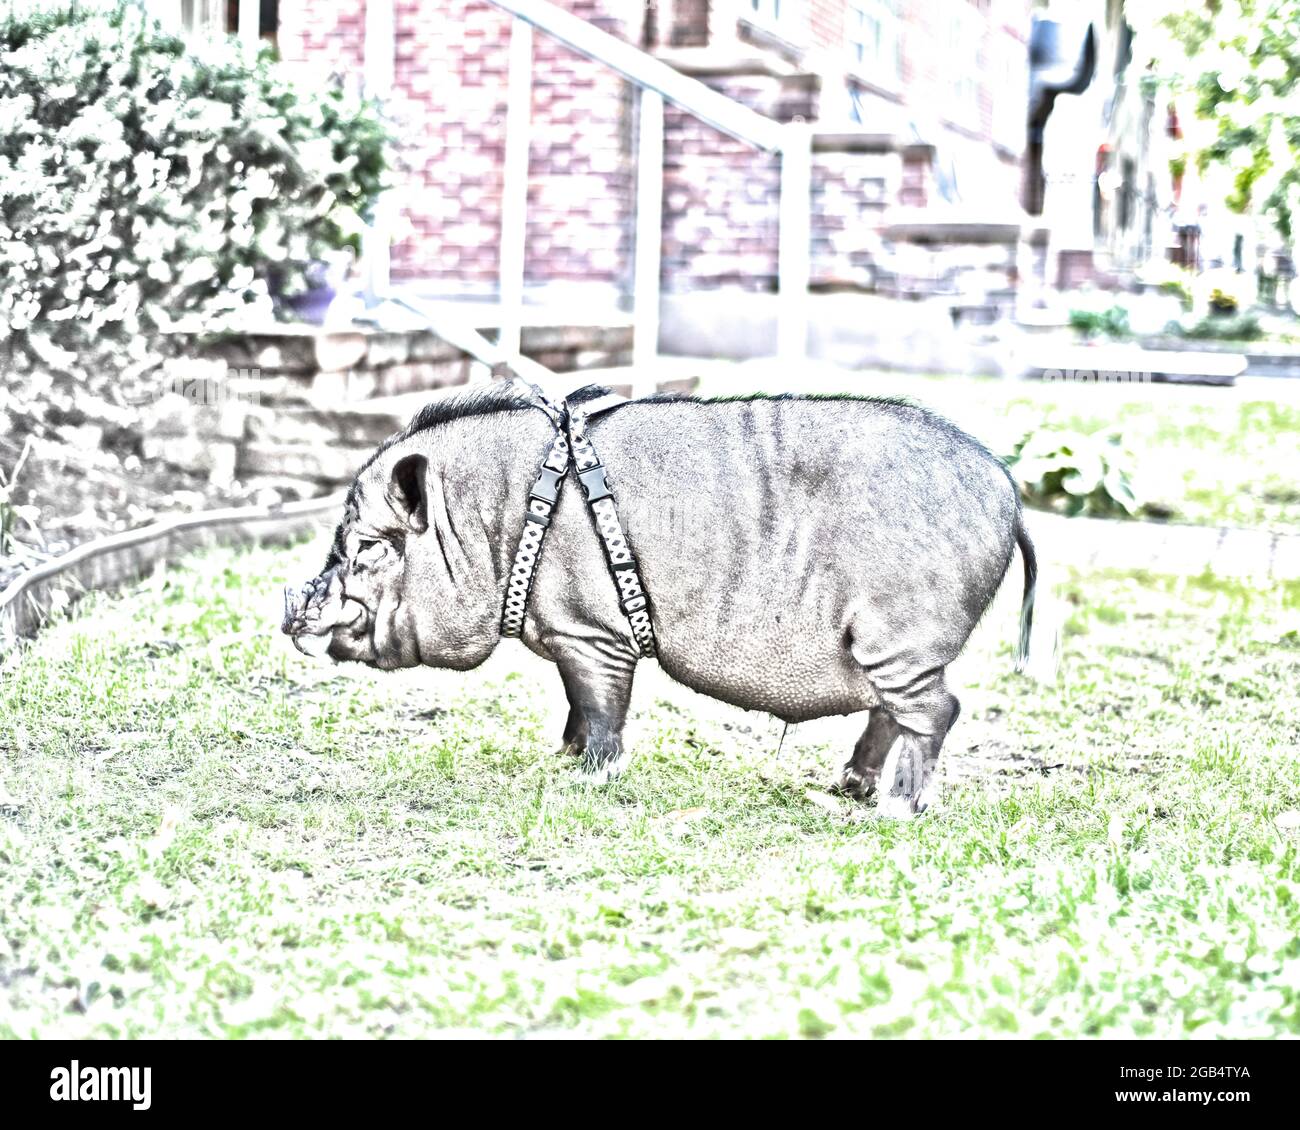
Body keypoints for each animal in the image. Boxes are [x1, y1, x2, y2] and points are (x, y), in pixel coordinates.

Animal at [282, 384, 1036, 817]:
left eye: (367, 548)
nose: (294, 610)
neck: (500, 520)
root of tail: (1010, 496)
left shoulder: (594, 633)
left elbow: (599, 705)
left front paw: (589, 777)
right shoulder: (571, 637)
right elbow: (574, 704)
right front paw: (561, 759)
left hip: (900, 632)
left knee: (937, 709)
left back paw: (896, 810)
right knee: (895, 711)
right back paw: (849, 788)